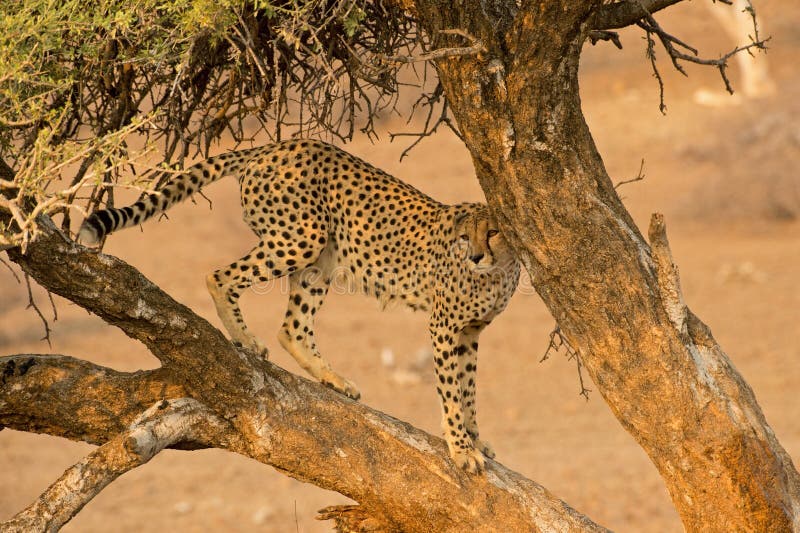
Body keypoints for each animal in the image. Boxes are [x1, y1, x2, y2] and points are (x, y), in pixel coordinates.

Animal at [78, 139, 521, 473]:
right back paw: (246, 341)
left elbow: (468, 387)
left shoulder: (470, 331)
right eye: (465, 237)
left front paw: (476, 439)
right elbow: (452, 391)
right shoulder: (444, 327)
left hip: (319, 259)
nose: (476, 256)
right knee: (219, 277)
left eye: (493, 233)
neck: (499, 268)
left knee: (292, 327)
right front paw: (461, 449)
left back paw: (332, 379)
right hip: (302, 237)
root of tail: (279, 144)